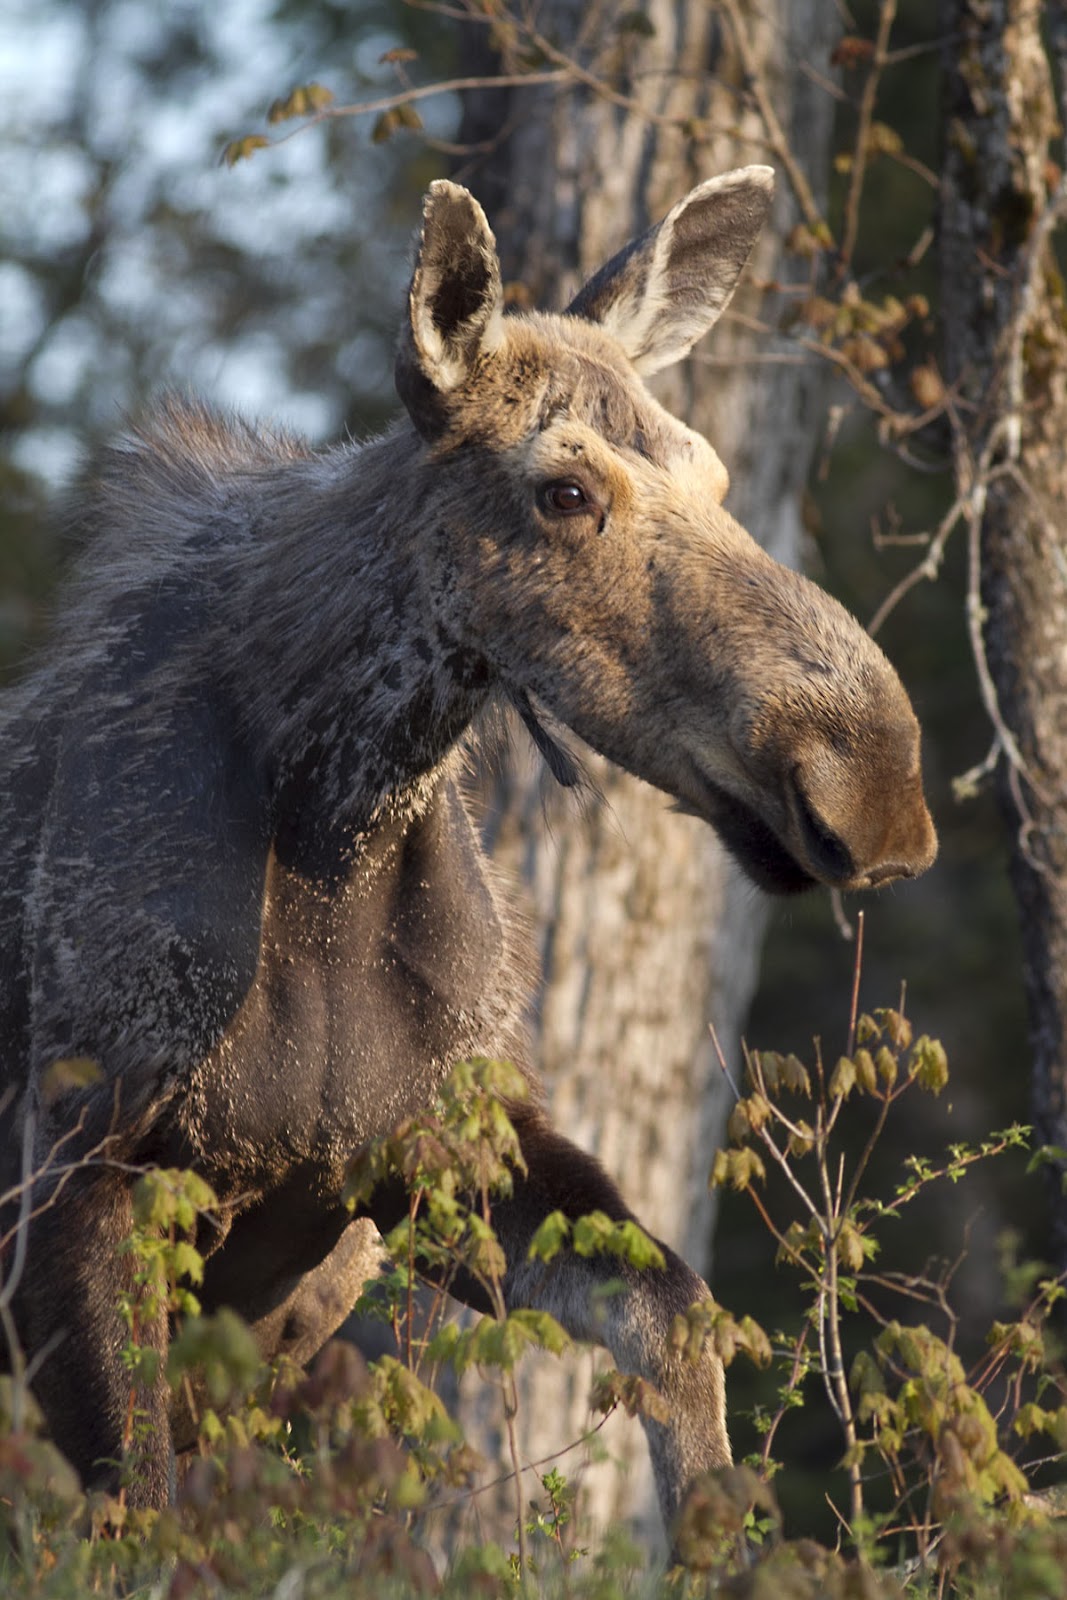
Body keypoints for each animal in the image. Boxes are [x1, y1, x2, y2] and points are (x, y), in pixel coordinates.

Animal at [0, 167, 936, 1534]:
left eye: (715, 477)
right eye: (565, 491)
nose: (874, 786)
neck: (331, 838)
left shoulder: (446, 1153)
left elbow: (673, 1317)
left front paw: (721, 1541)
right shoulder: (76, 1169)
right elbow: (142, 1515)